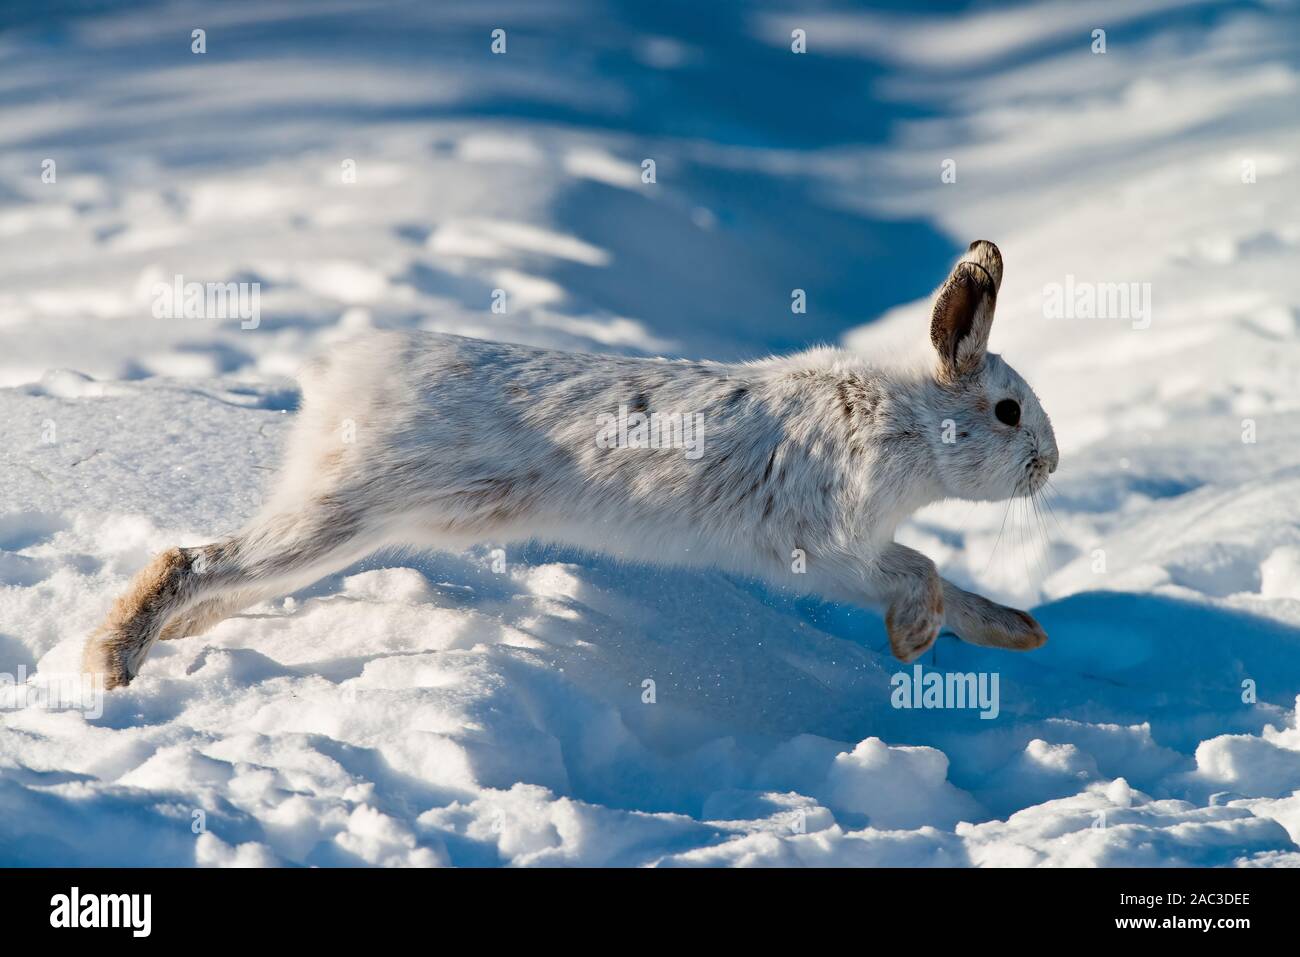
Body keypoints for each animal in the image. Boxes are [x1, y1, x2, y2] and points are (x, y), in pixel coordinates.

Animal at [83, 240, 1056, 689]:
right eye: (1007, 410)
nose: (1048, 463)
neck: (910, 419)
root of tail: (337, 374)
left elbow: (955, 586)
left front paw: (1018, 631)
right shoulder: (832, 548)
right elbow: (922, 571)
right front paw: (914, 641)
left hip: (350, 523)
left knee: (231, 575)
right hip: (344, 510)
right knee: (192, 559)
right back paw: (111, 665)